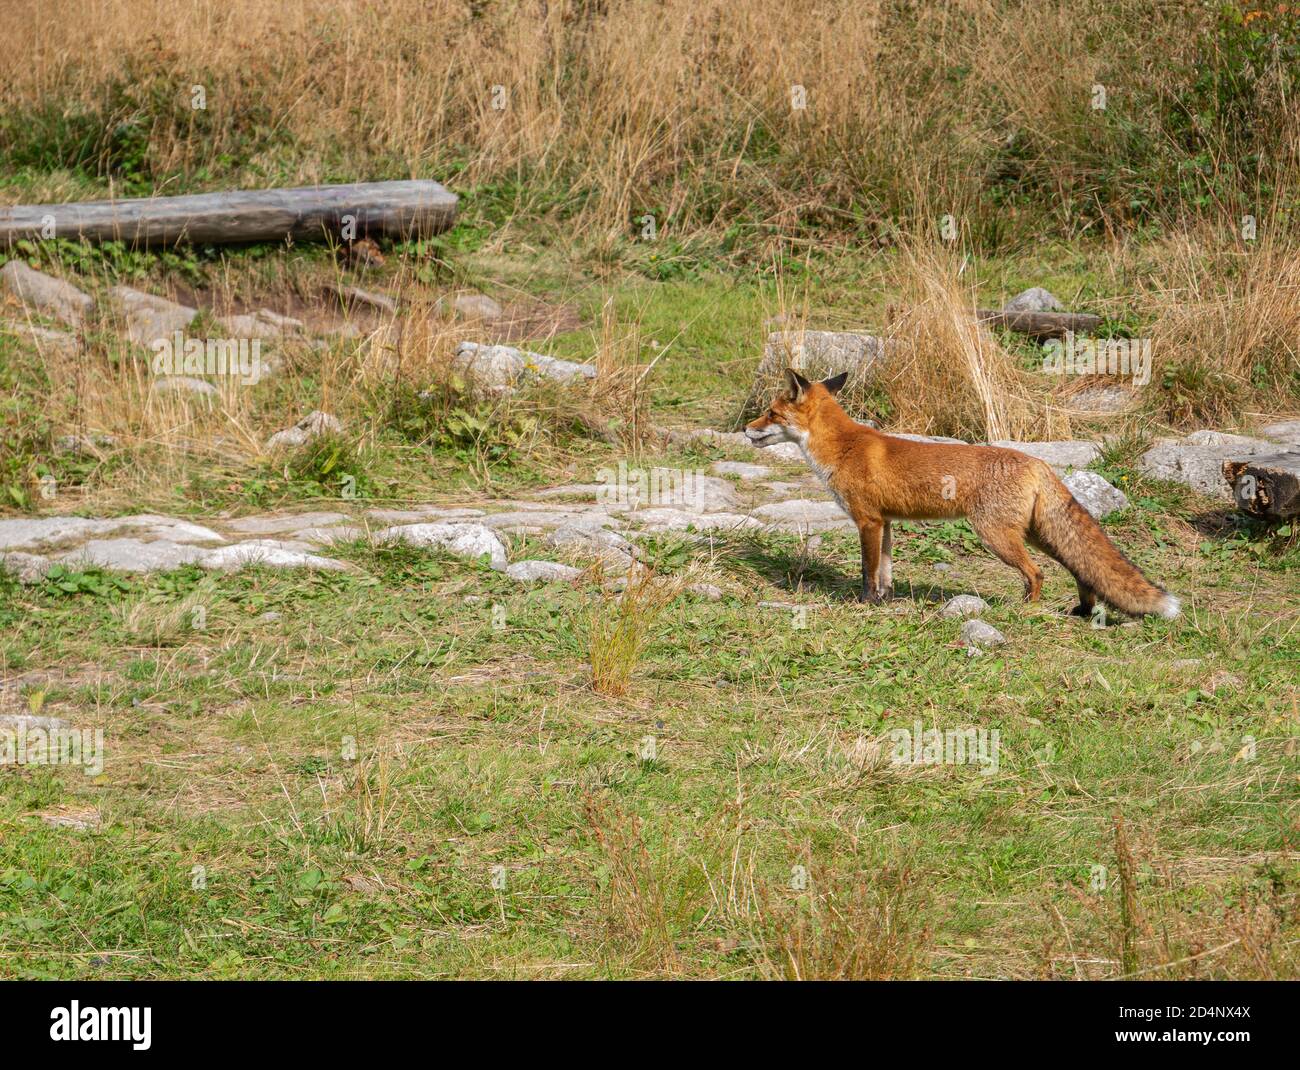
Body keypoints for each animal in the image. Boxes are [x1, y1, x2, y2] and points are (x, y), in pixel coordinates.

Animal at [745, 369, 1180, 619]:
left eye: (770, 413)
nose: (745, 429)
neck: (843, 447)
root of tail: (1038, 462)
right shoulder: (886, 523)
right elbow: (886, 571)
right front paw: (885, 602)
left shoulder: (867, 520)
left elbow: (868, 572)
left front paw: (865, 604)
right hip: (1036, 534)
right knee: (1082, 569)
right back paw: (1082, 609)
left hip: (997, 536)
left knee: (1037, 573)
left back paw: (1027, 611)